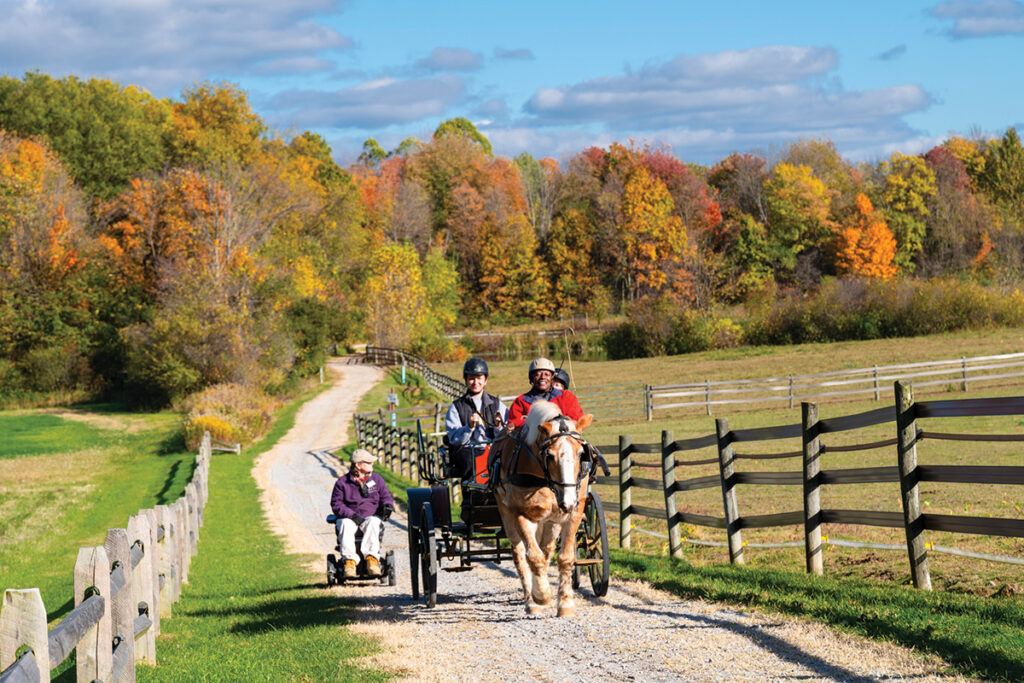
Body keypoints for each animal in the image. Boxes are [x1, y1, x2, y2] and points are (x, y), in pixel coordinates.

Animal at [492, 400, 594, 616]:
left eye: (581, 453)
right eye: (550, 455)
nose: (568, 501)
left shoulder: (573, 514)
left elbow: (564, 558)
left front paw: (565, 603)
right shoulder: (521, 515)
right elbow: (533, 556)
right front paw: (541, 595)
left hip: (551, 522)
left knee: (546, 550)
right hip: (506, 513)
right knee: (520, 554)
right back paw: (531, 600)